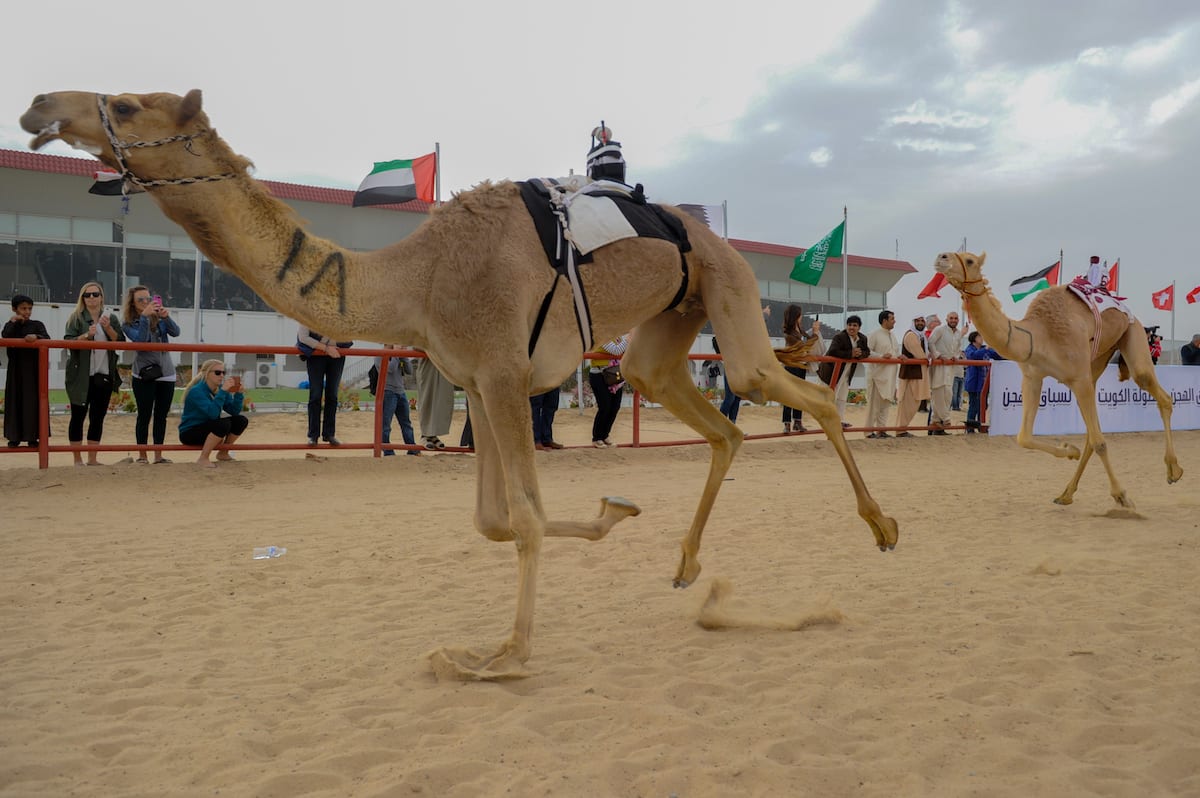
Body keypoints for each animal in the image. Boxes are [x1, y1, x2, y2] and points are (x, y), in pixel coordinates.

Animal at [21, 89, 898, 680]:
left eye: (125, 103)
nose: (37, 106)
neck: (417, 277)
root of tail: (706, 234)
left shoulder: (504, 371)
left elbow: (528, 518)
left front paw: (501, 655)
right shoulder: (477, 380)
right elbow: (492, 519)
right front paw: (614, 512)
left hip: (727, 291)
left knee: (802, 393)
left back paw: (884, 527)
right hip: (663, 337)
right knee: (723, 422)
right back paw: (687, 566)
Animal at [933, 251, 1182, 508]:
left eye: (970, 260)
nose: (941, 257)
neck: (1038, 335)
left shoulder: (1078, 379)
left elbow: (1100, 441)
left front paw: (1122, 495)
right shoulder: (1033, 377)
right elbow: (1024, 437)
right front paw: (1070, 450)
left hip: (1131, 334)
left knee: (1156, 392)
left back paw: (1173, 470)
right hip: (1097, 361)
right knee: (1091, 432)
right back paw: (1066, 494)